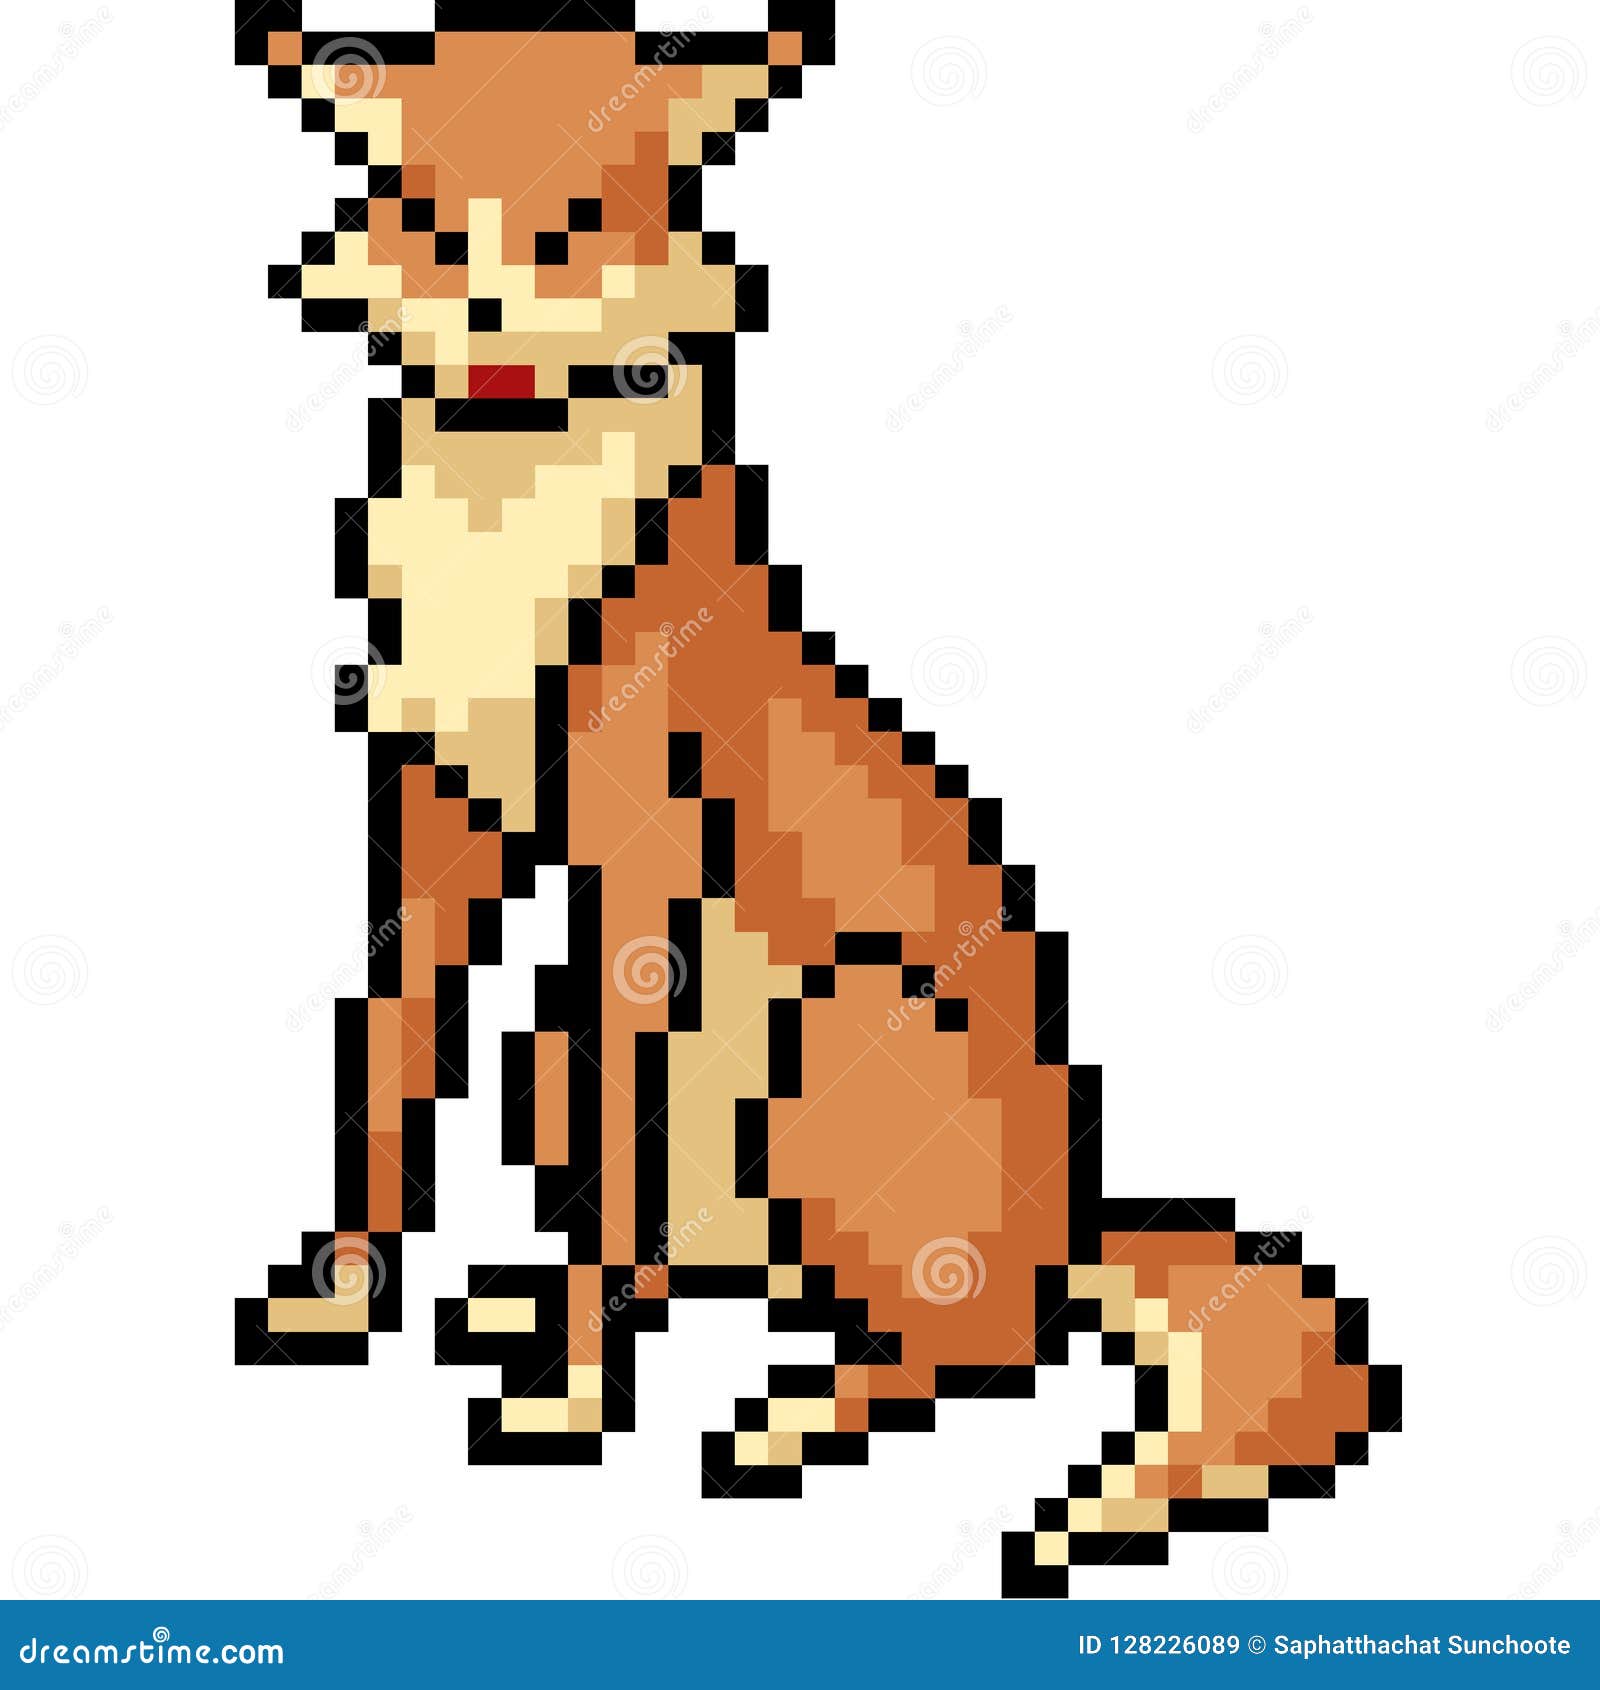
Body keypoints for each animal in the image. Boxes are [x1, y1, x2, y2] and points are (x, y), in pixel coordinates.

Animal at [233, 3, 1399, 1598]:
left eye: (573, 222)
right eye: (424, 215)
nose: (478, 304)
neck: (502, 528)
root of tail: (1073, 1226)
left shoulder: (635, 855)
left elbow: (605, 1168)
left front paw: (574, 1396)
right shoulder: (432, 826)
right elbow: (393, 1067)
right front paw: (351, 1297)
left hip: (825, 1030)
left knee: (971, 1350)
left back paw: (784, 1413)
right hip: (562, 1052)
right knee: (719, 1258)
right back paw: (551, 1300)